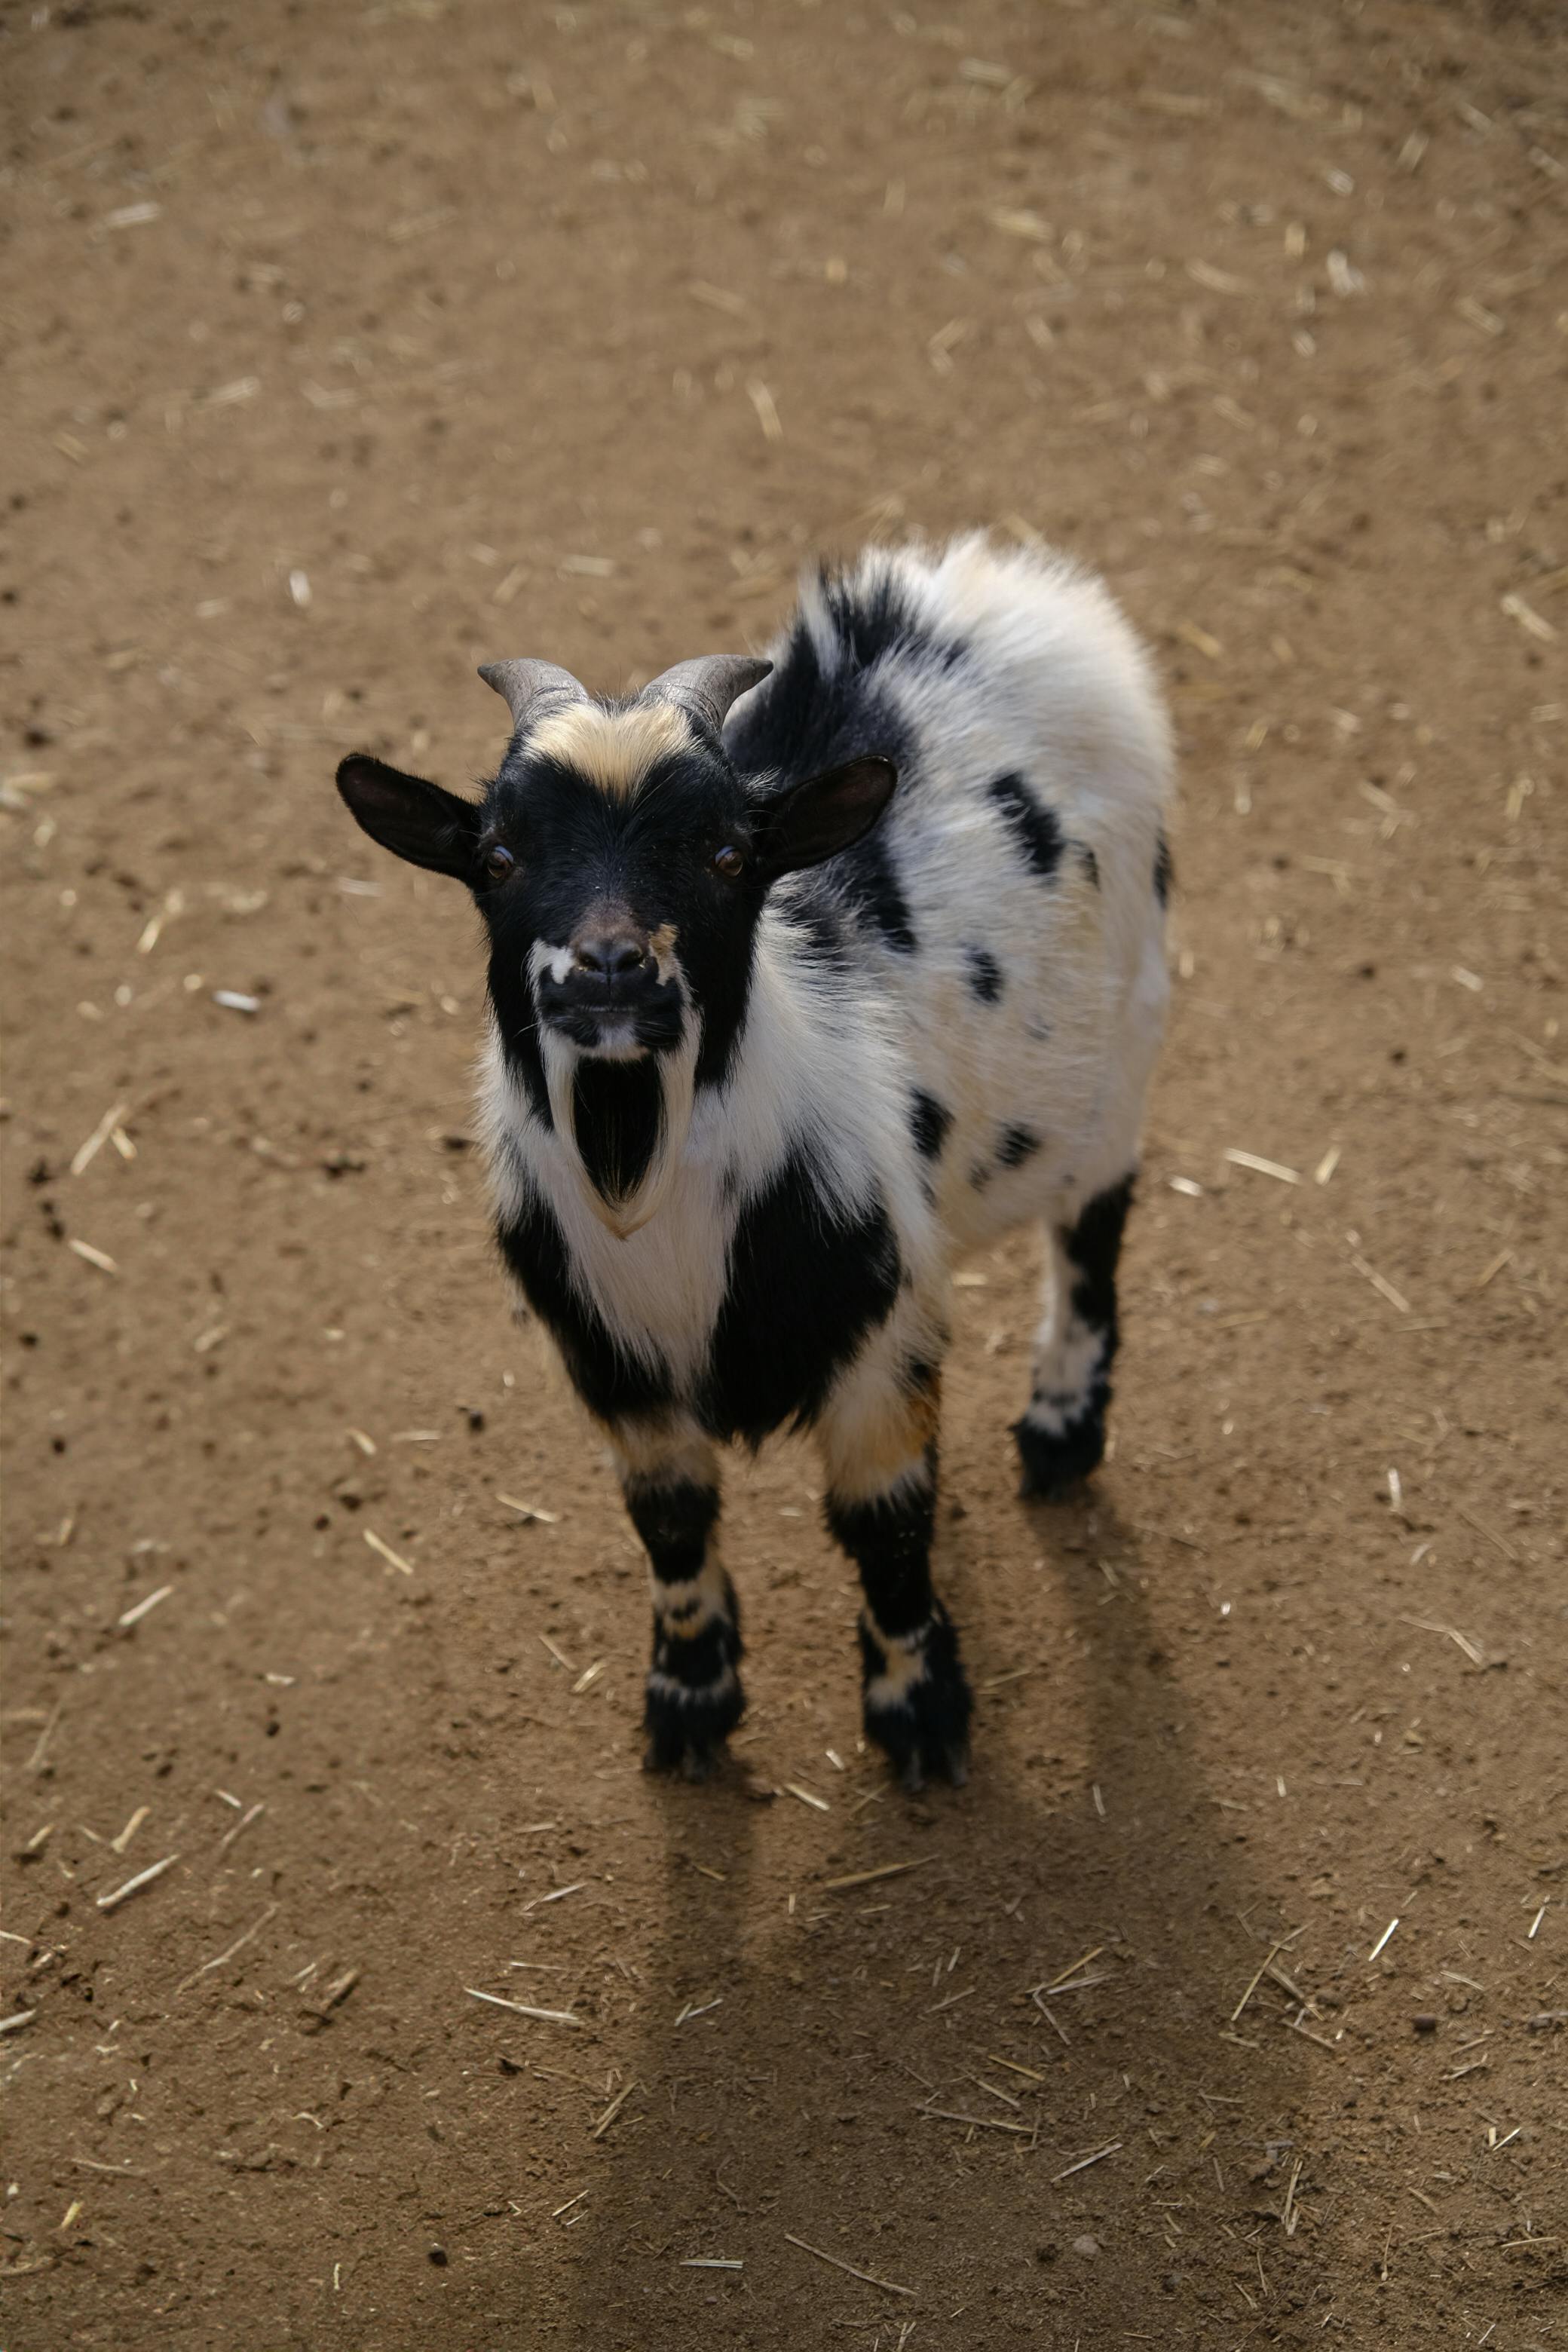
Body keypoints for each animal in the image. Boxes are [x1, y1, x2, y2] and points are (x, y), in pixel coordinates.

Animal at [336, 534, 1172, 1790]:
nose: (607, 972)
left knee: (1092, 1233)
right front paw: (690, 1698)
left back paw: (1063, 1427)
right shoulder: (614, 1363)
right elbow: (672, 1524)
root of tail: (997, 583)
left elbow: (884, 1526)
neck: (656, 1201)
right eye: (496, 856)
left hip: (1114, 1058)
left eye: (730, 853)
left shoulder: (880, 1340)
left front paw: (919, 1709)